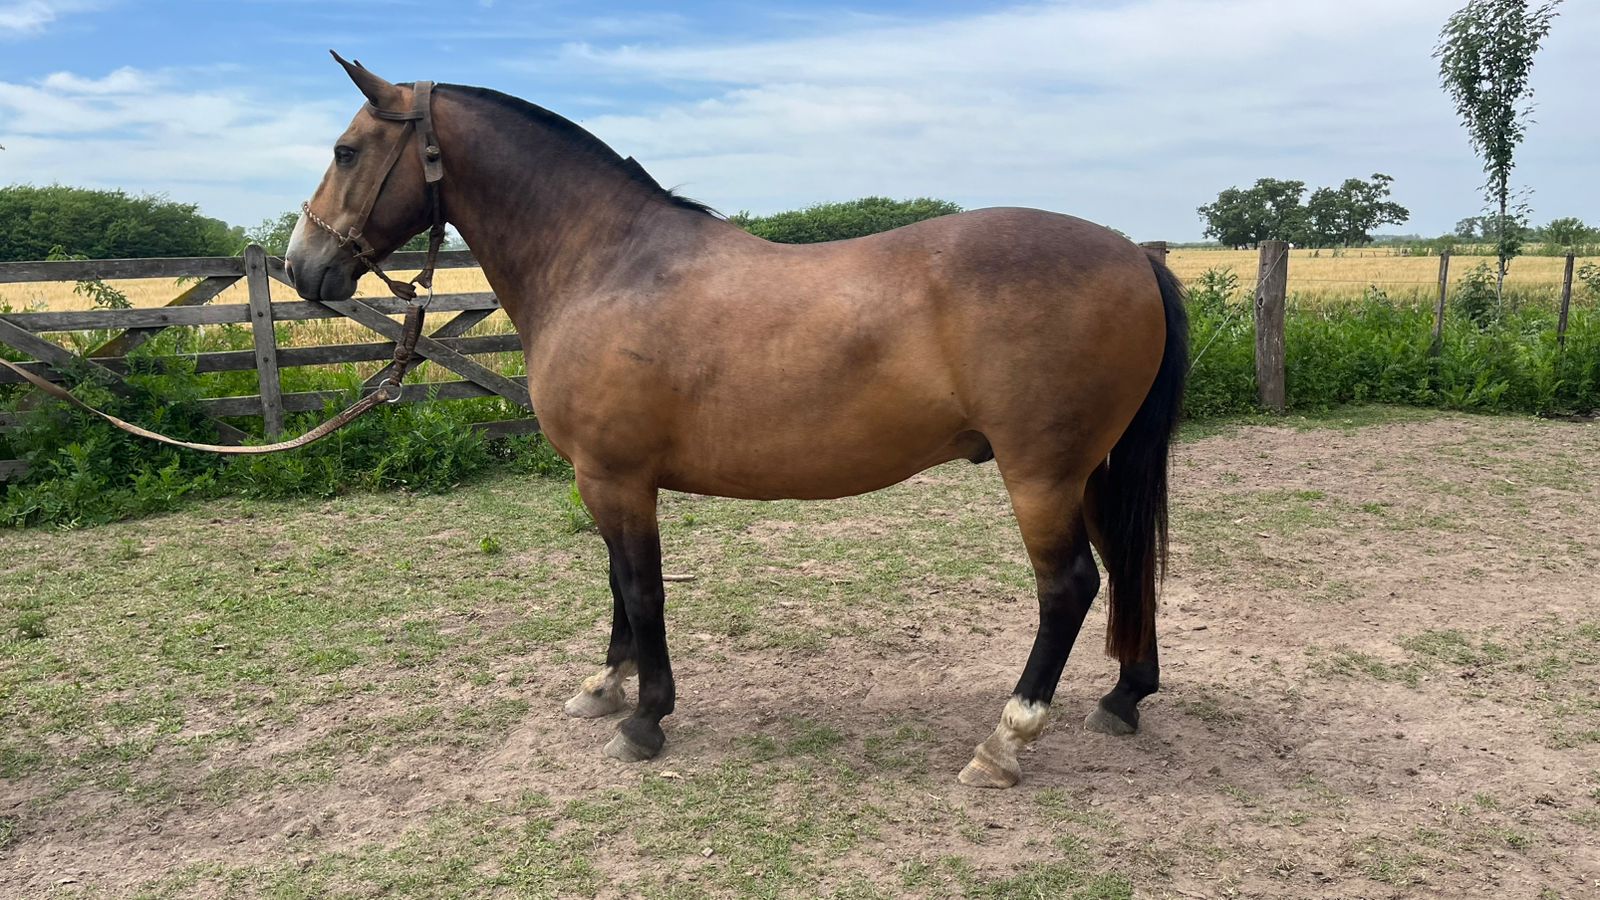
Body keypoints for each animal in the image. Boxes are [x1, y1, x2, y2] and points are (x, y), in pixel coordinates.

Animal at [286, 53, 1188, 789]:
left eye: (346, 150)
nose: (303, 267)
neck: (605, 264)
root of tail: (1133, 254)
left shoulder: (615, 478)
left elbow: (642, 589)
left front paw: (645, 720)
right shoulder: (609, 480)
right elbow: (617, 584)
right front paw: (605, 688)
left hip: (1040, 474)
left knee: (1068, 587)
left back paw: (1006, 741)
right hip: (1091, 470)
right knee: (1124, 564)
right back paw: (1123, 697)